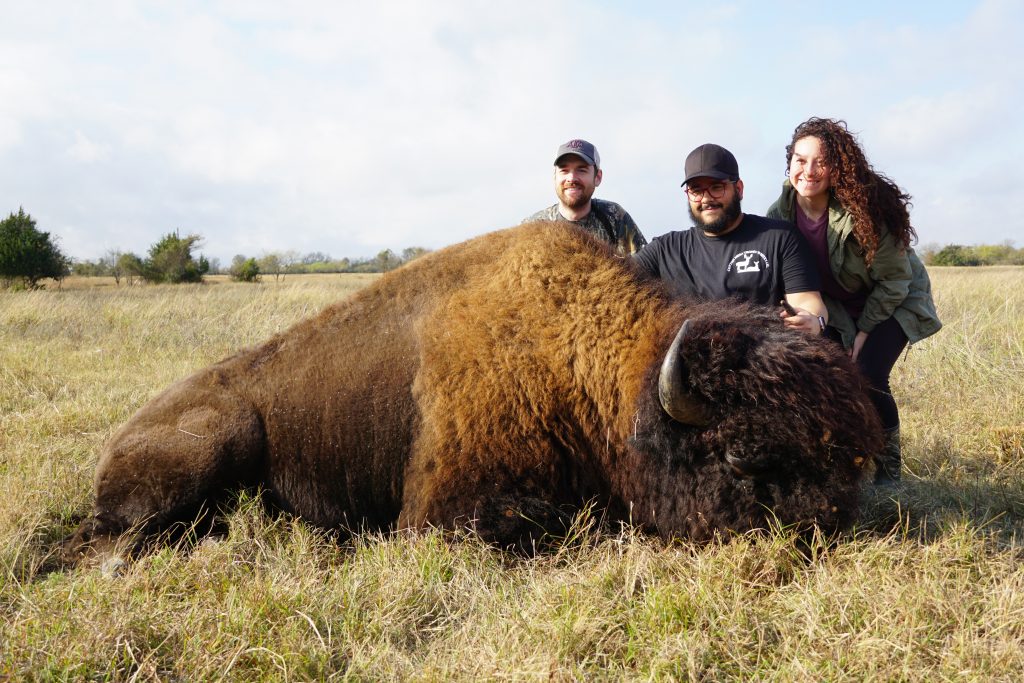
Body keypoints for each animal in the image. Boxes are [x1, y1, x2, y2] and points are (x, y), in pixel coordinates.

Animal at [63, 222, 883, 564]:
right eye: (743, 461)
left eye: (847, 455)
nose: (832, 527)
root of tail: (114, 441)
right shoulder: (446, 509)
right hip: (214, 437)